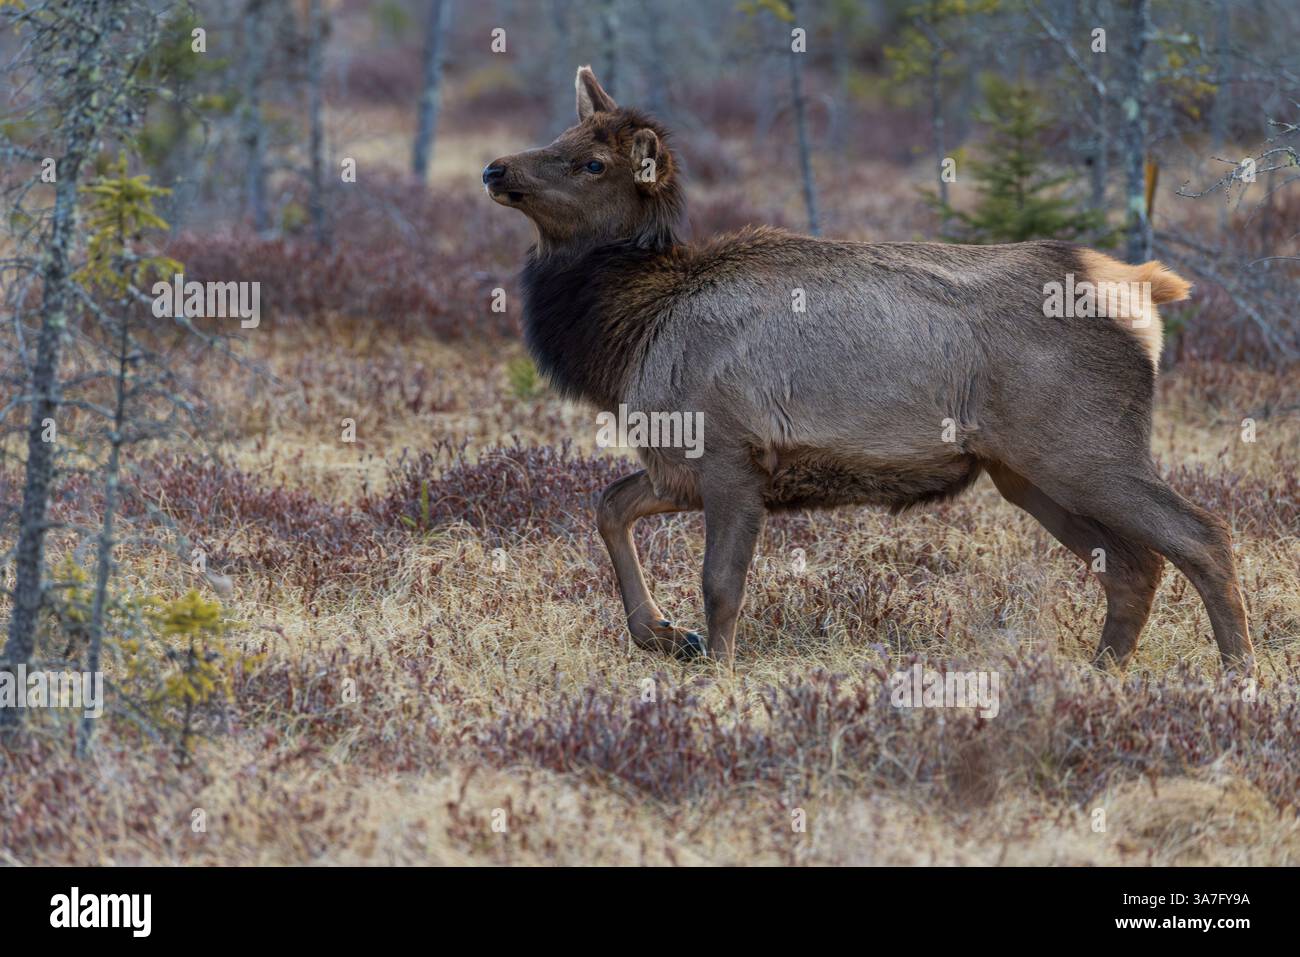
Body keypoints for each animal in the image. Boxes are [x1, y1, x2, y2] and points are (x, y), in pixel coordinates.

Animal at [482, 65, 1254, 673]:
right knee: (1133, 564)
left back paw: (1238, 673)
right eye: (560, 138)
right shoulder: (679, 464)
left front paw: (715, 668)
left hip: (1085, 446)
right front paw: (667, 636)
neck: (629, 338)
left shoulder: (731, 452)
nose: (495, 168)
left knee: (1203, 534)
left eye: (593, 164)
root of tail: (1144, 290)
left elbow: (721, 584)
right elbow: (609, 505)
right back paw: (1103, 672)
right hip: (1026, 471)